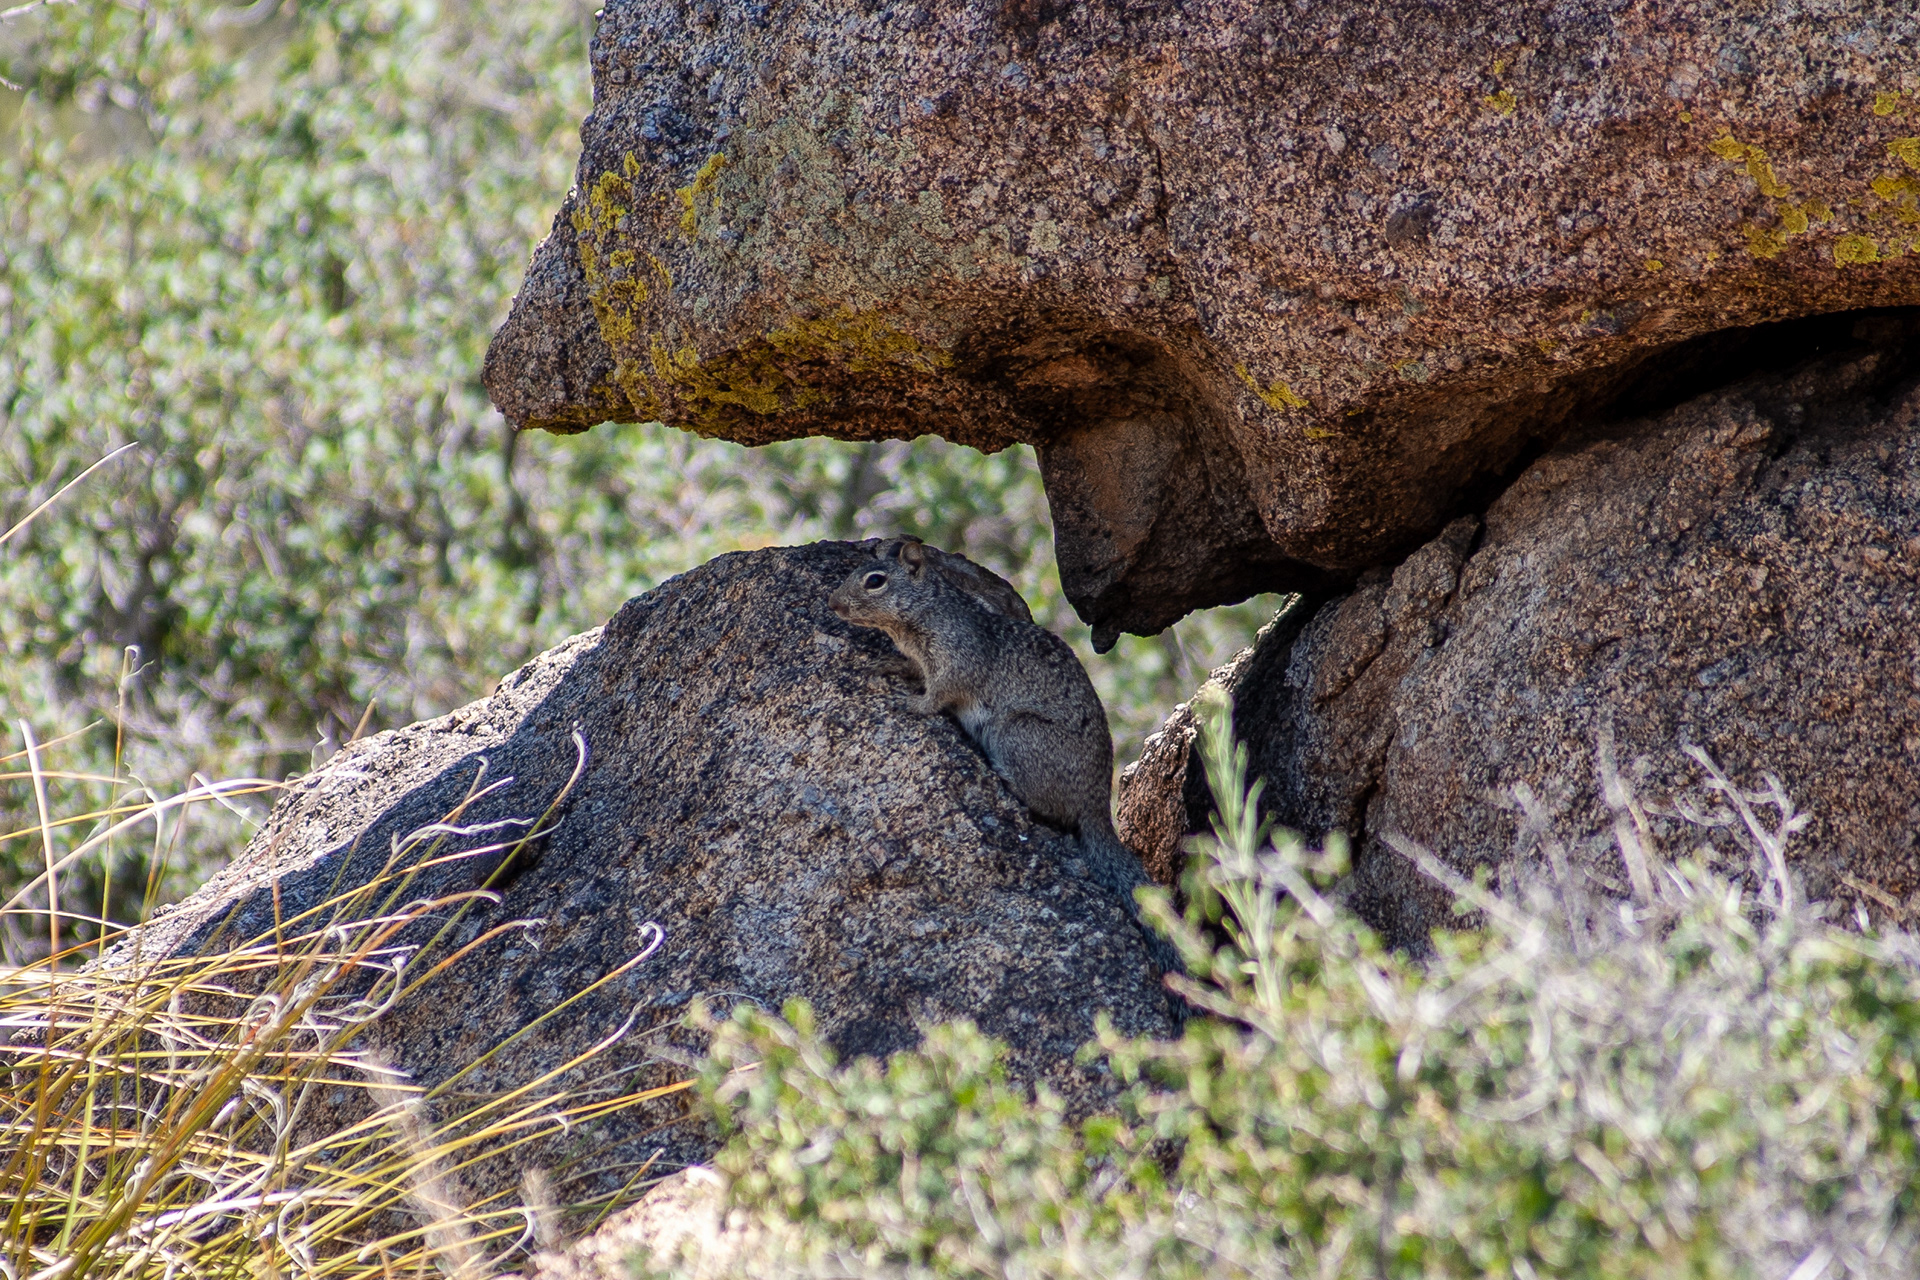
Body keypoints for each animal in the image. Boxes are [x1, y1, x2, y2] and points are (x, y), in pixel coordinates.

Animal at [829, 538, 1180, 975]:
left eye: (874, 581)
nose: (832, 603)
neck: (925, 615)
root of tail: (1096, 805)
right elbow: (910, 668)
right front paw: (888, 664)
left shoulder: (957, 663)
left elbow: (937, 695)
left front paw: (912, 704)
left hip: (1014, 733)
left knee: (1046, 806)